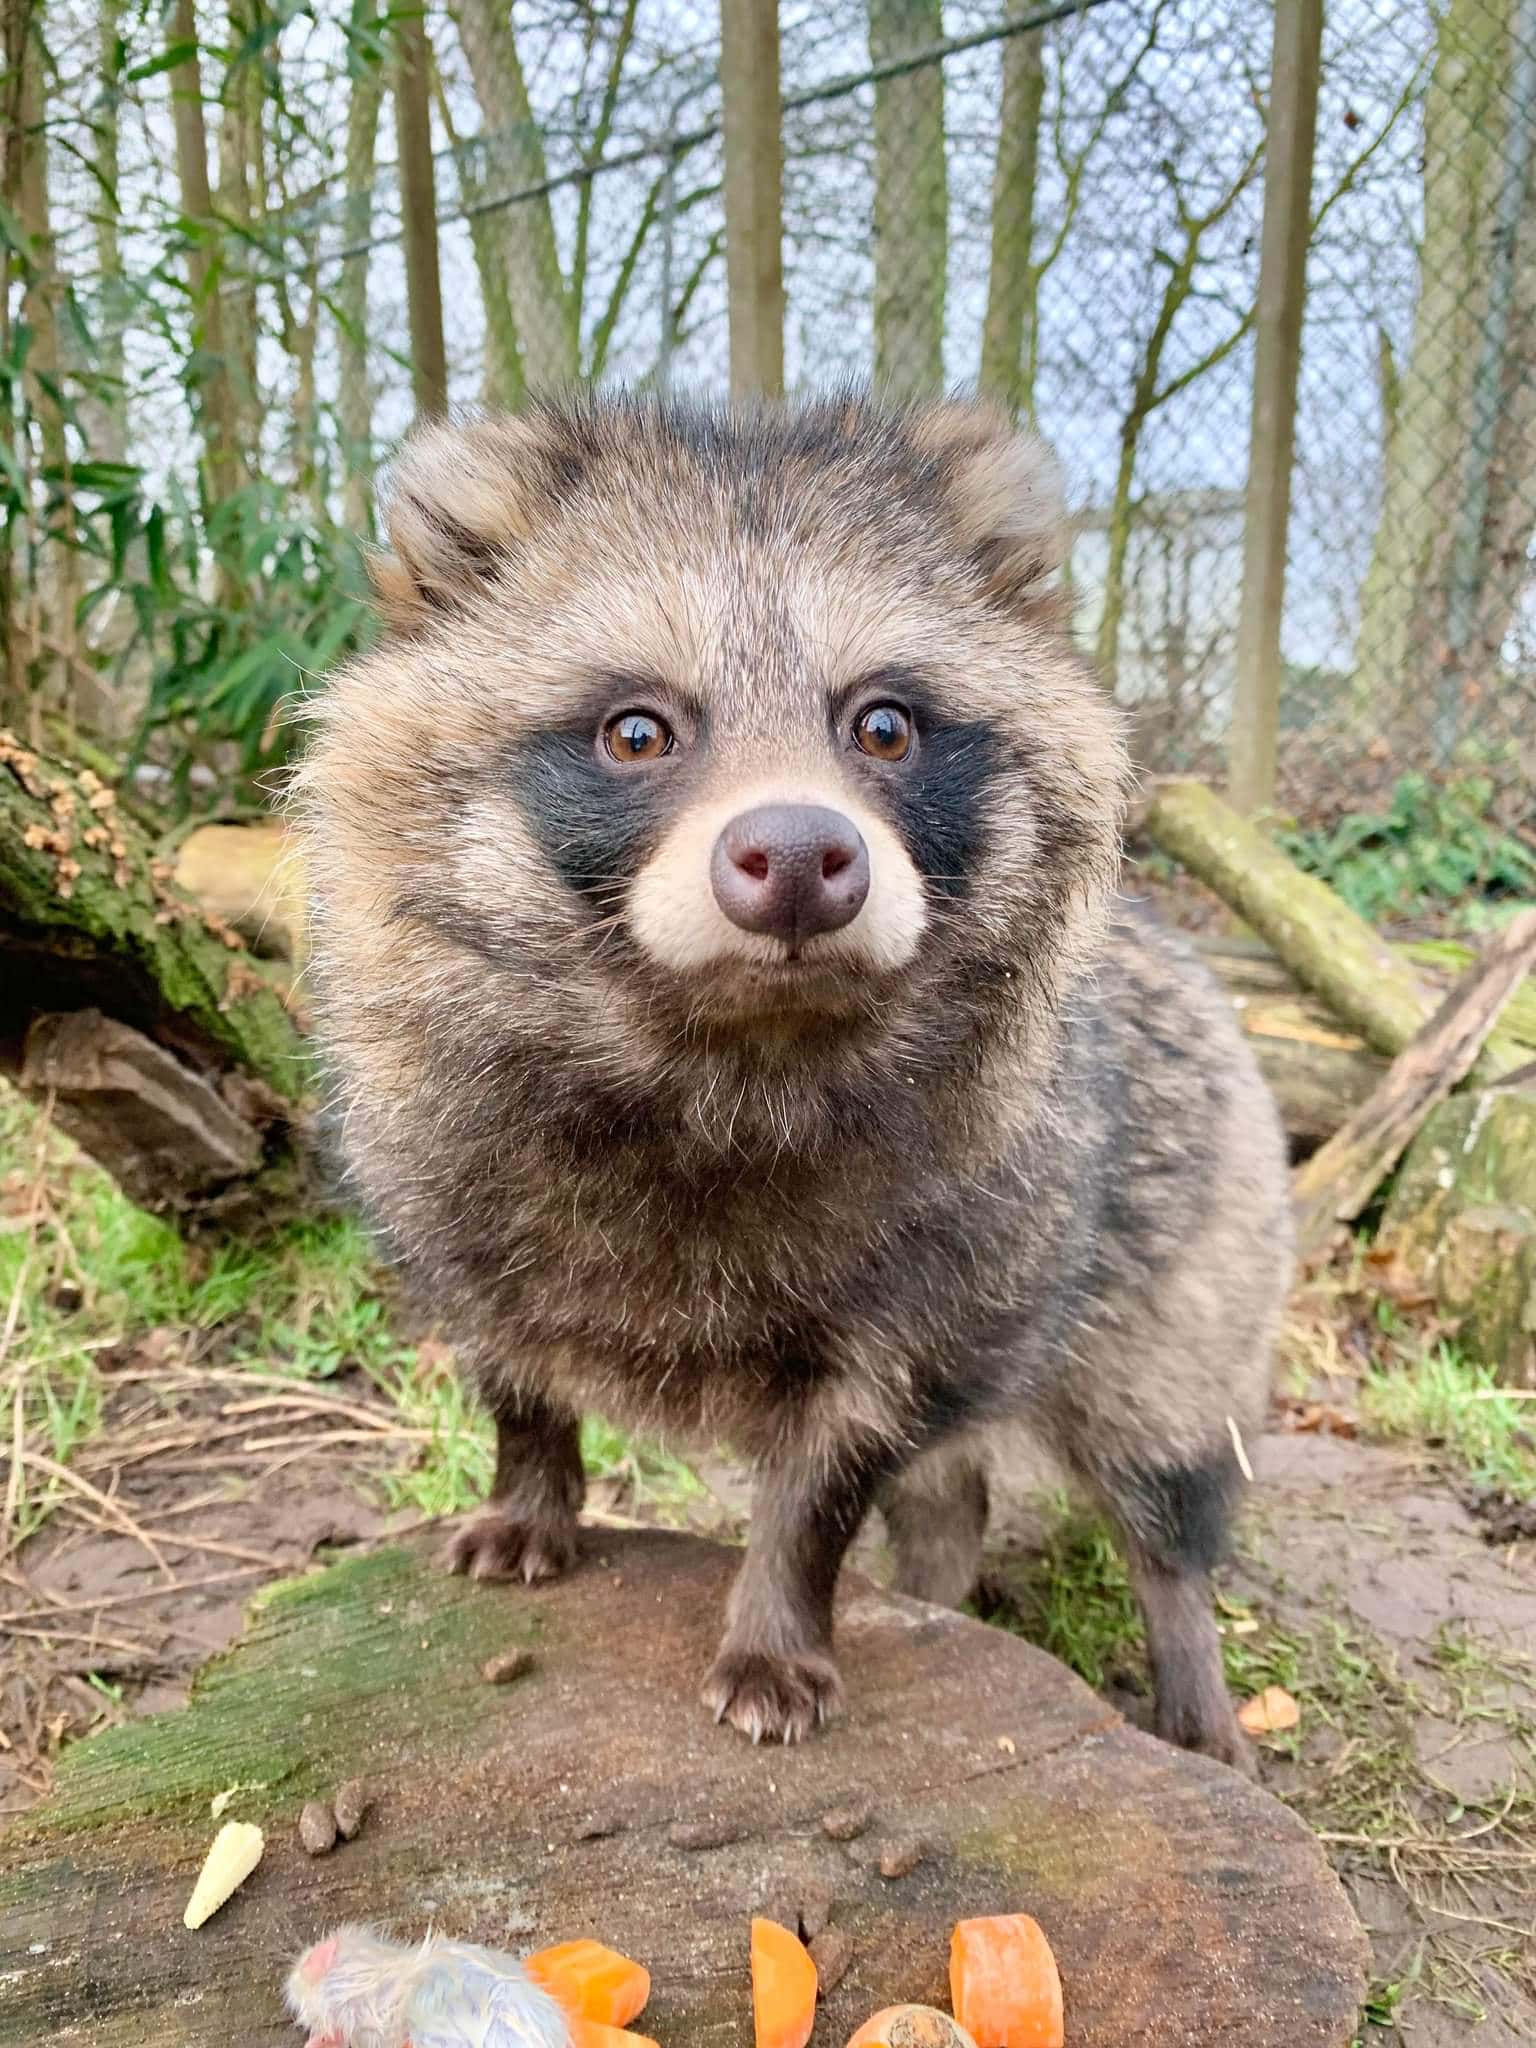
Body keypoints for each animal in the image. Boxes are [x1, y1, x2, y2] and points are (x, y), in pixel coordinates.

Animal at [298, 393, 1293, 1769]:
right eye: (637, 729)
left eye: (884, 724)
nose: (800, 853)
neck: (731, 1054)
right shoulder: (439, 1164)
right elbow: (506, 1354)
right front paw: (533, 1483)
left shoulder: (957, 1247)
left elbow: (835, 1461)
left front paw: (780, 1613)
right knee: (951, 1488)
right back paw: (932, 1587)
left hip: (1184, 1250)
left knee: (1165, 1463)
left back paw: (1185, 1656)